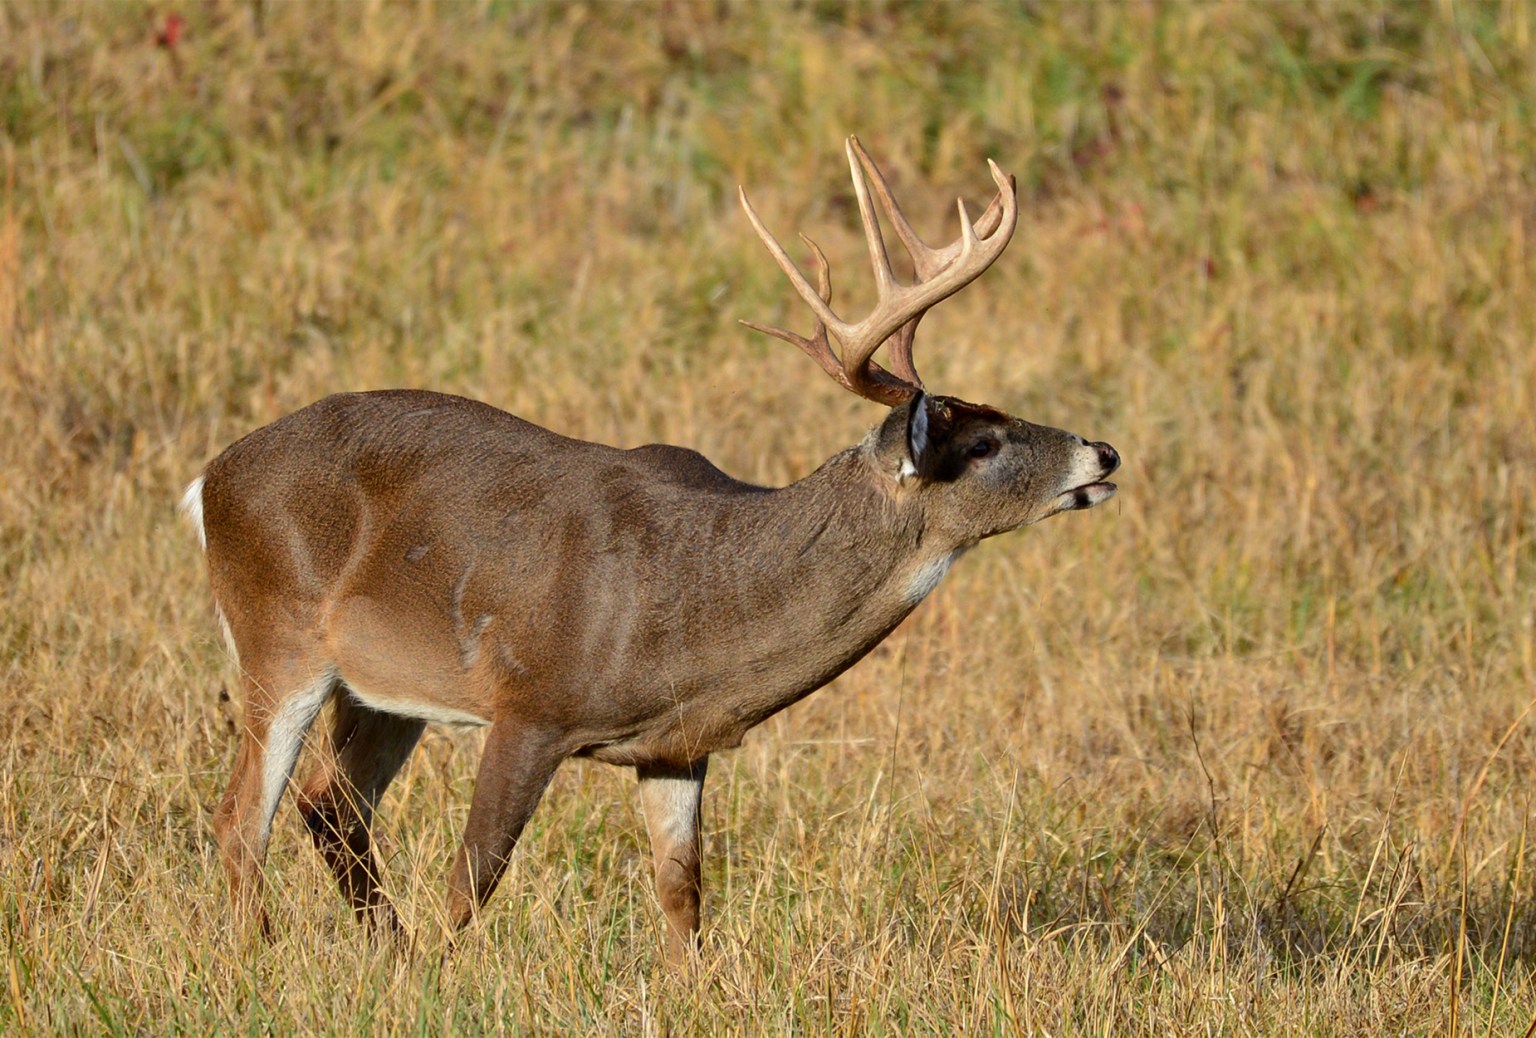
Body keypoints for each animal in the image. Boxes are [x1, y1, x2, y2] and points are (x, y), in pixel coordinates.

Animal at [181, 137, 1120, 965]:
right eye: (985, 444)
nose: (1104, 453)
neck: (699, 596)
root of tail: (209, 479)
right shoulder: (532, 703)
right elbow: (473, 877)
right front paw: (440, 984)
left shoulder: (675, 745)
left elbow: (682, 893)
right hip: (277, 635)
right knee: (242, 817)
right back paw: (258, 959)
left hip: (381, 691)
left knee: (331, 808)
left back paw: (383, 951)